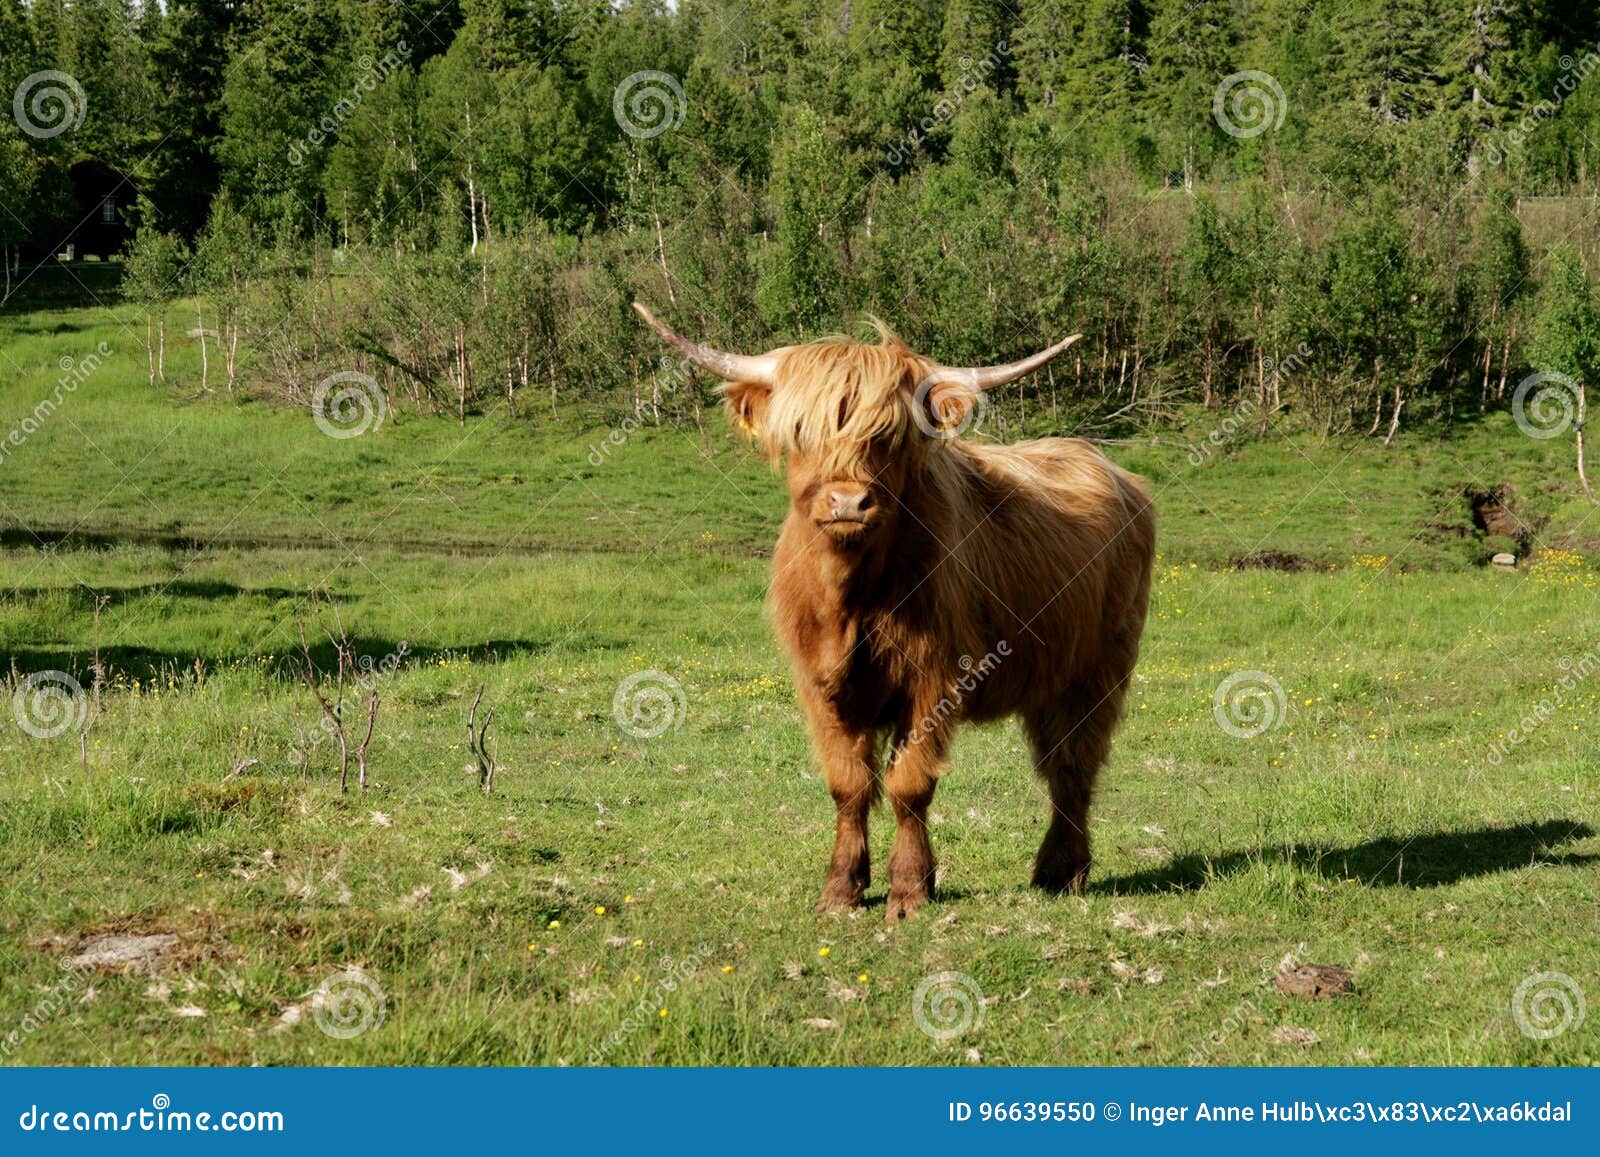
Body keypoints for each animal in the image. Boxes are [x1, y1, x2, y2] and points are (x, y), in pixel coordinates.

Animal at [635, 304, 1156, 921]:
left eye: (885, 435)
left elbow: (909, 785)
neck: (850, 599)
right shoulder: (818, 684)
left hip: (1100, 668)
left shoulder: (935, 680)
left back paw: (1063, 870)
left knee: (1074, 764)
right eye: (801, 432)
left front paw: (909, 890)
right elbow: (848, 785)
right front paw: (841, 889)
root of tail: (1107, 467)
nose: (847, 502)